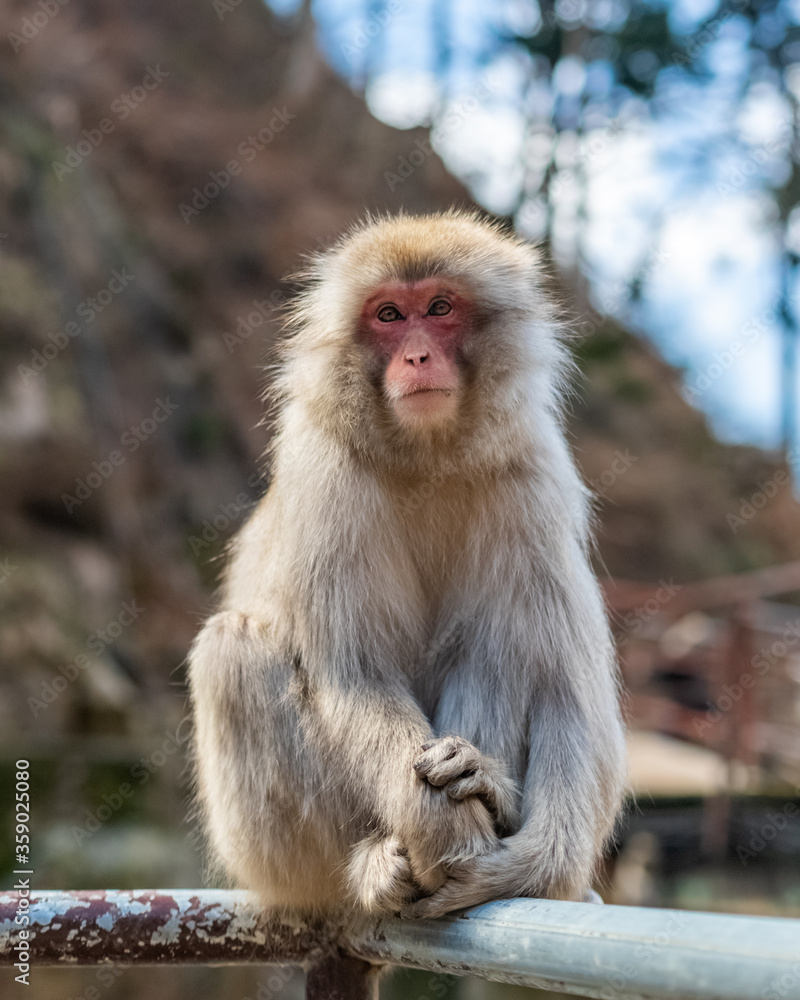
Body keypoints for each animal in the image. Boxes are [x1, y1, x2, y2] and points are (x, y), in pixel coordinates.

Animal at [188, 210, 627, 920]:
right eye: (389, 314)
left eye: (440, 308)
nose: (417, 355)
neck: (427, 454)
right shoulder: (327, 474)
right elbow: (354, 674)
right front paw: (446, 830)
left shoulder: (534, 478)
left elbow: (568, 692)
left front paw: (518, 860)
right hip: (273, 857)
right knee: (235, 648)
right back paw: (374, 867)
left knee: (503, 648)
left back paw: (488, 793)